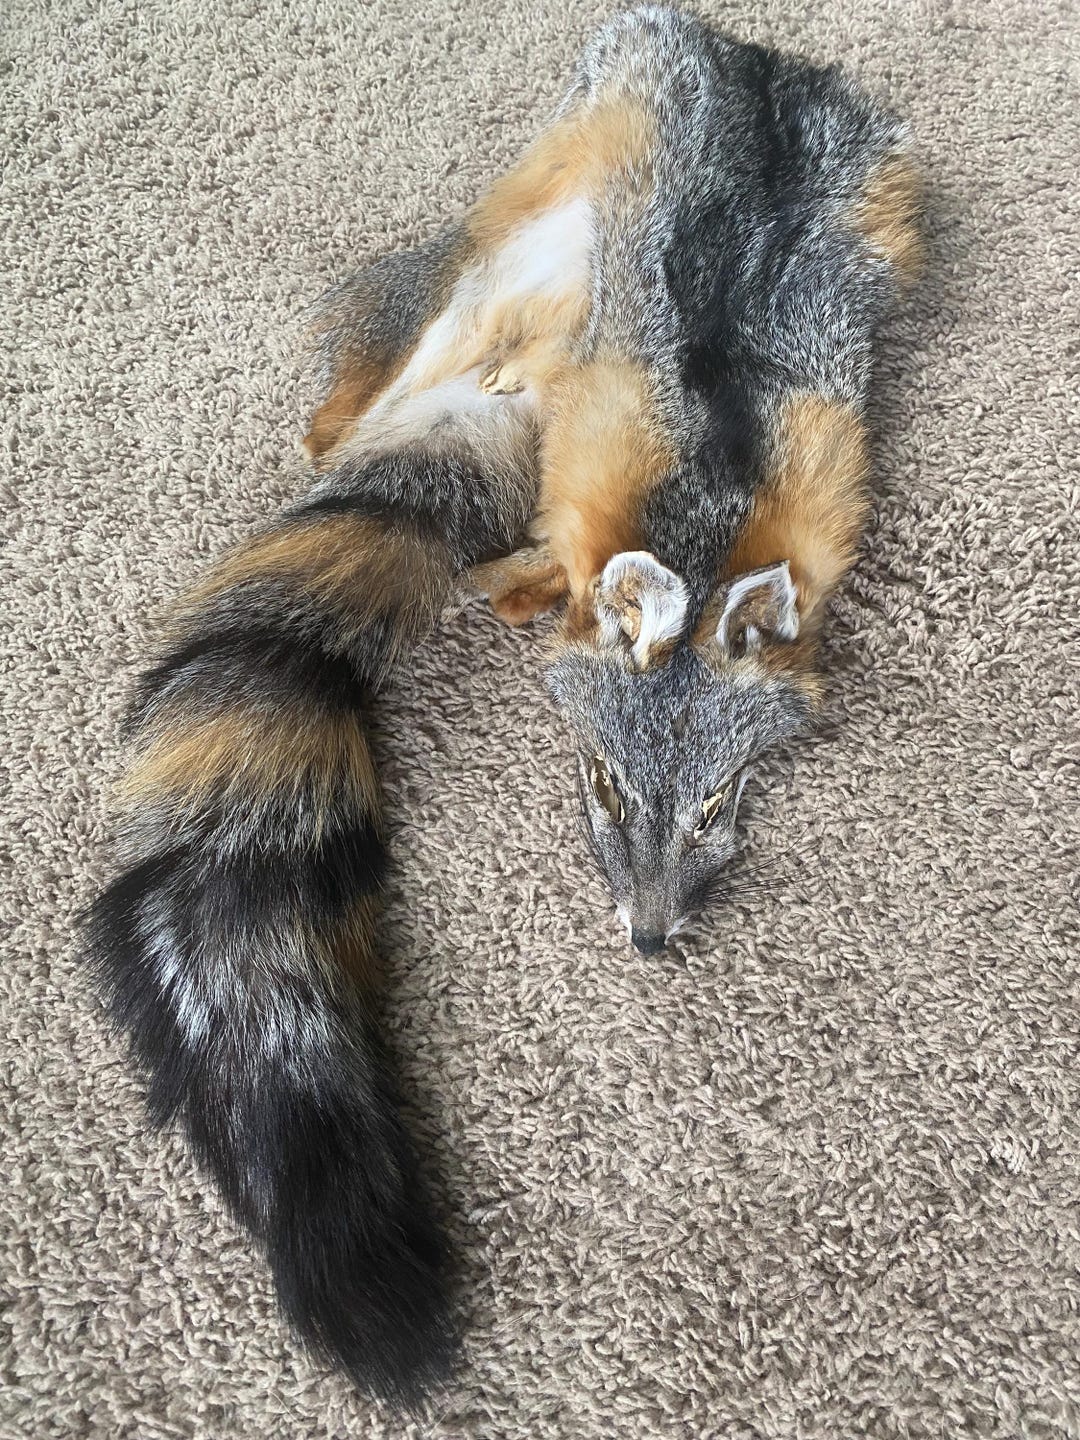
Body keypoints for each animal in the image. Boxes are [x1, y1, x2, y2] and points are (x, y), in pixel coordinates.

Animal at [85, 5, 921, 1408]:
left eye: (716, 807)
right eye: (606, 789)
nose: (650, 941)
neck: (710, 512)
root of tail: (746, 48)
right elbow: (561, 566)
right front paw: (535, 584)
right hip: (506, 218)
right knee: (383, 372)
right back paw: (366, 422)